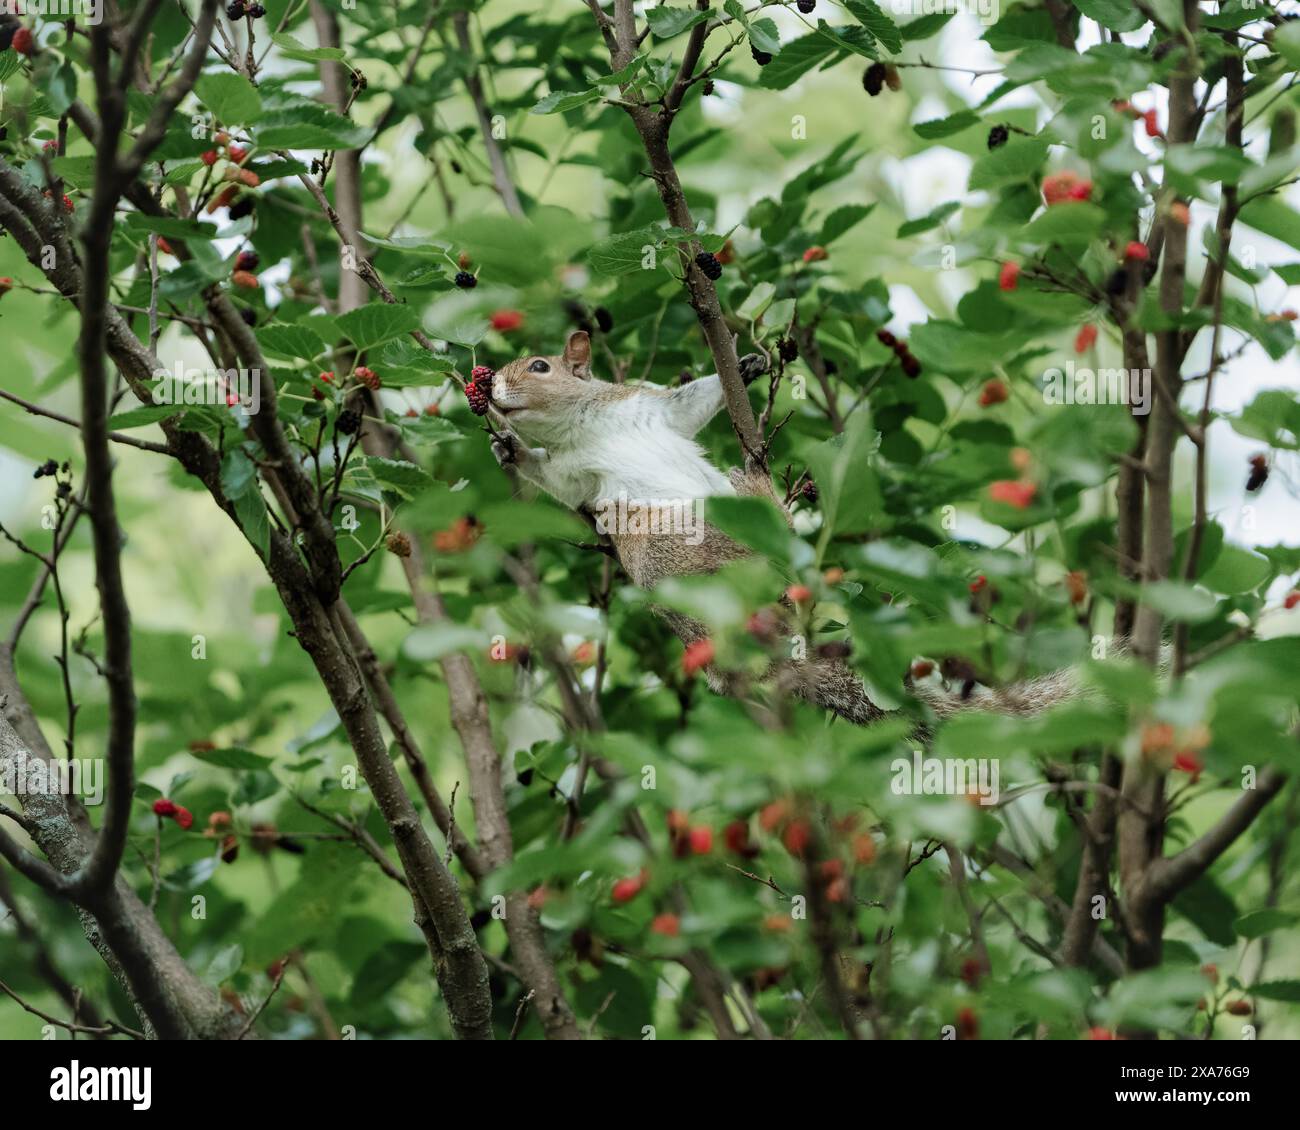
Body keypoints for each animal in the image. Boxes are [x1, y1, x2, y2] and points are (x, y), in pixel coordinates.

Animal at [487, 330, 1085, 725]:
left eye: (539, 367)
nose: (490, 387)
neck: (584, 426)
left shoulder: (645, 403)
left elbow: (688, 404)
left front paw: (748, 363)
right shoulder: (576, 474)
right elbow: (557, 483)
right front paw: (509, 449)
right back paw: (759, 487)